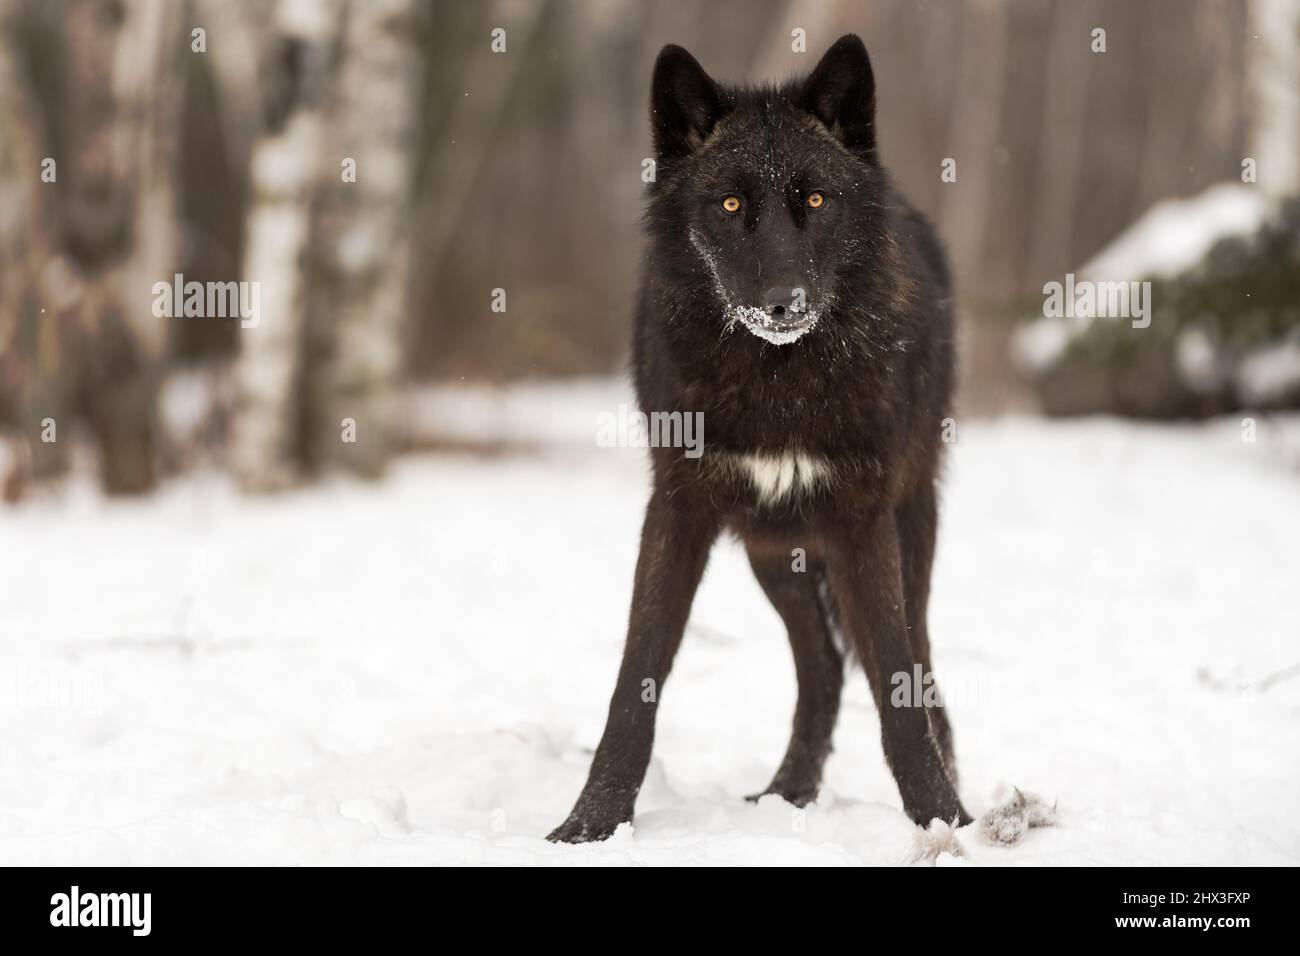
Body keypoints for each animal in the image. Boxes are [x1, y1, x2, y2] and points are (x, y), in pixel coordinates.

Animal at [549, 35, 970, 843]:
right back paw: (789, 795)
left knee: (918, 664)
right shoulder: (678, 509)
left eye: (816, 199)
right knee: (825, 666)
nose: (784, 302)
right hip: (774, 550)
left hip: (902, 529)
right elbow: (634, 682)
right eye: (731, 203)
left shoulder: (862, 520)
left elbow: (897, 684)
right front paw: (589, 825)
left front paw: (942, 822)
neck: (780, 385)